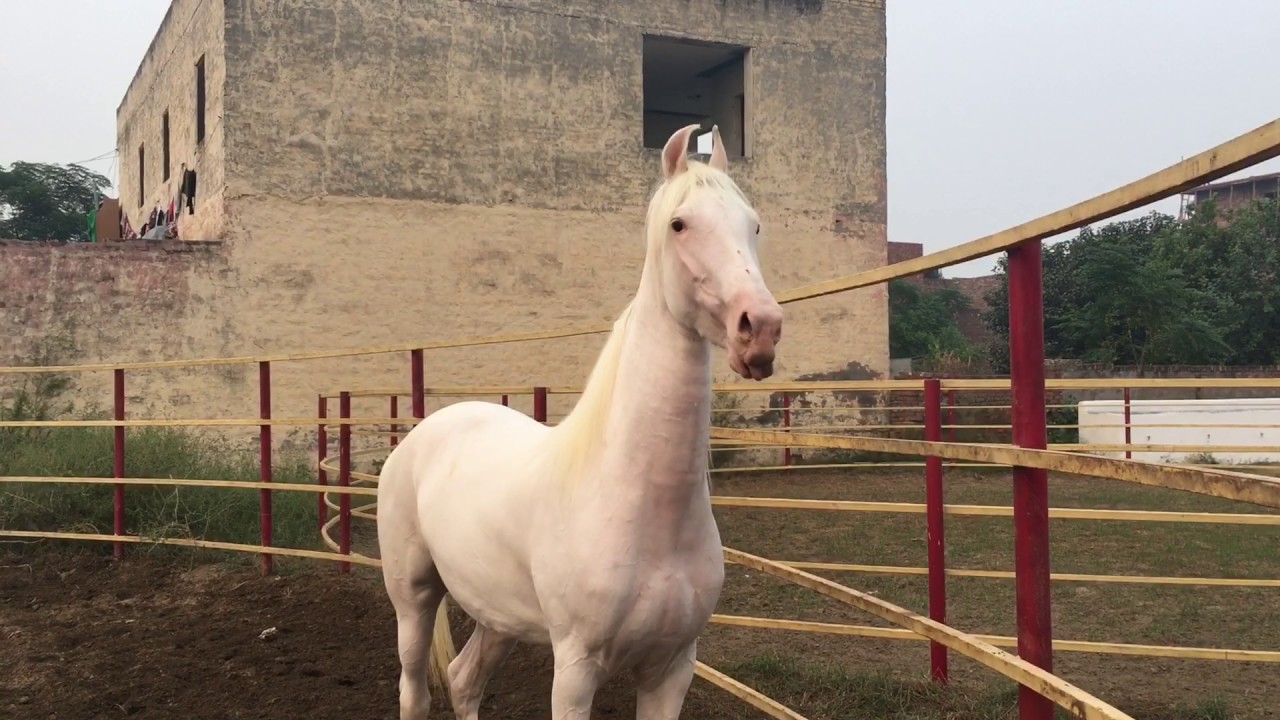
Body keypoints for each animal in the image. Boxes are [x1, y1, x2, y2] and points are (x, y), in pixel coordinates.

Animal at [375, 123, 784, 720]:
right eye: (680, 224)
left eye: (753, 224)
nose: (761, 330)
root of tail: (426, 431)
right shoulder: (575, 669)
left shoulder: (672, 669)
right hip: (413, 596)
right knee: (414, 688)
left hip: (498, 615)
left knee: (464, 680)